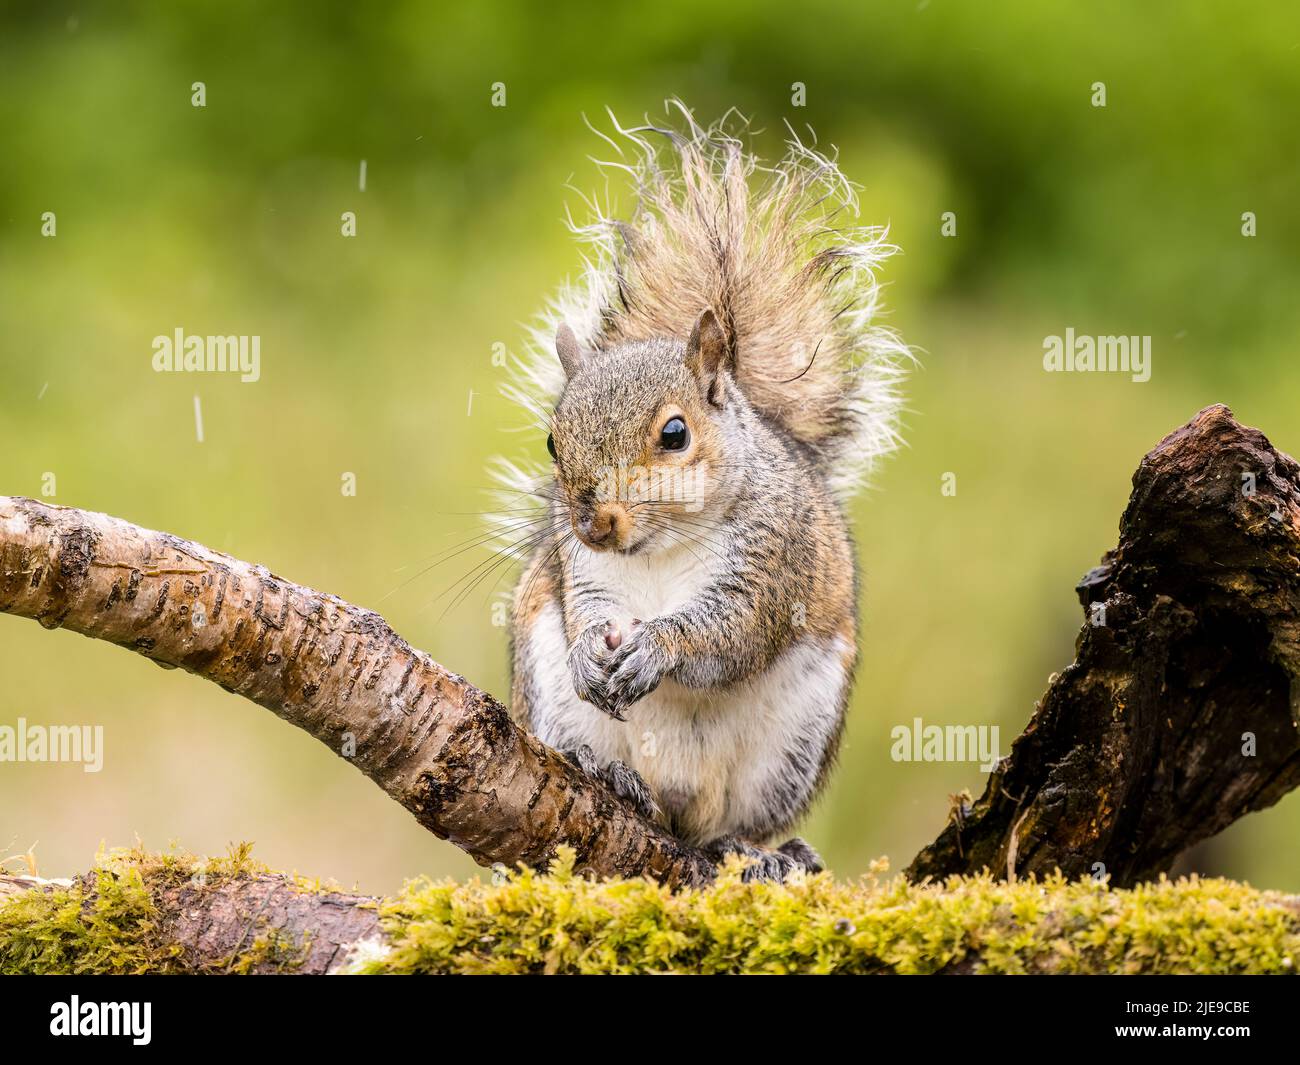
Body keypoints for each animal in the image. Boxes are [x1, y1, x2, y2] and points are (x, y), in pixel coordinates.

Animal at [498, 104, 910, 880]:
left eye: (675, 433)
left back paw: (755, 850)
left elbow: (732, 628)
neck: (659, 548)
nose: (594, 522)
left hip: (791, 746)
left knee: (724, 825)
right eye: (551, 443)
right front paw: (590, 652)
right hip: (548, 699)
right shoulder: (583, 571)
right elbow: (584, 615)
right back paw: (607, 772)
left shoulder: (772, 559)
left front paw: (659, 646)